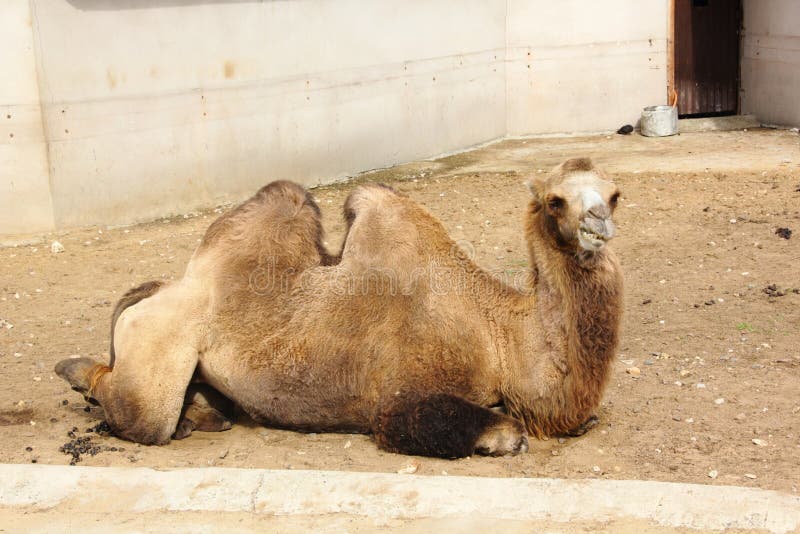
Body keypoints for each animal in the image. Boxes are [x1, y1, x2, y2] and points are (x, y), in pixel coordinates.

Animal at [56, 157, 623, 458]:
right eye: (555, 200)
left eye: (614, 194)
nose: (598, 223)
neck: (498, 332)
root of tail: (162, 286)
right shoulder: (397, 398)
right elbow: (502, 428)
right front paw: (502, 434)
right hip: (156, 348)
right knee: (140, 414)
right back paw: (76, 373)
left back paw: (197, 418)